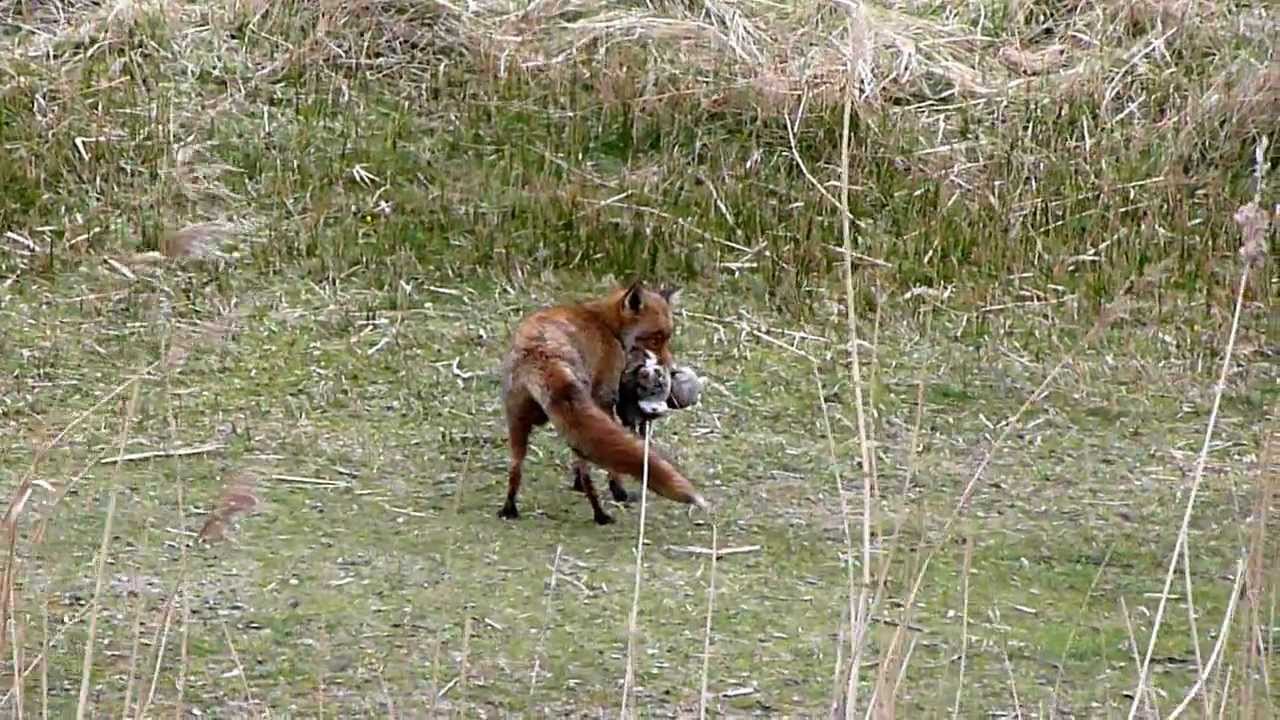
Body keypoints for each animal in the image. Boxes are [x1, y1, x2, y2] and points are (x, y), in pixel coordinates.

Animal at [498, 281, 708, 525]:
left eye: (668, 338)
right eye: (654, 339)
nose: (671, 369)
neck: (608, 326)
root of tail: (541, 352)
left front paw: (577, 485)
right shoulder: (604, 400)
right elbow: (609, 465)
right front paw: (617, 491)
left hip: (519, 420)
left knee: (516, 468)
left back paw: (509, 508)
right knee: (587, 472)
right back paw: (601, 514)